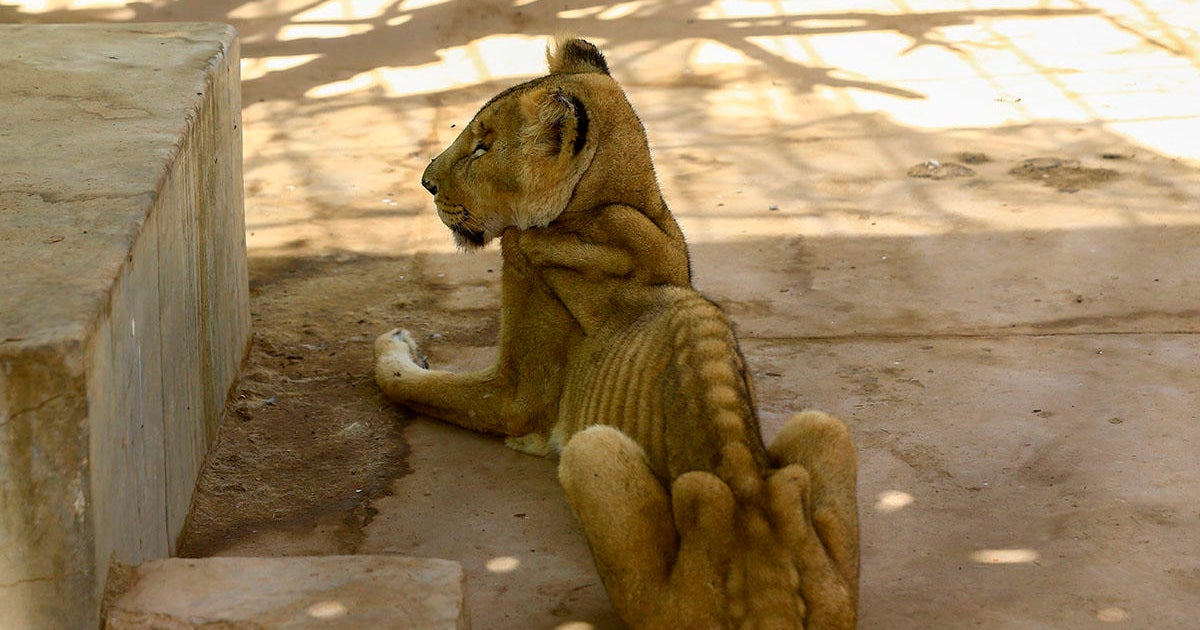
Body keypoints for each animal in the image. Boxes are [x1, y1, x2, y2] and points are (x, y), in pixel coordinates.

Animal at [374, 37, 860, 629]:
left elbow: (408, 382)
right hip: (826, 433)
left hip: (592, 452)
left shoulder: (515, 391)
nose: (425, 182)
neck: (615, 206)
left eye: (483, 147)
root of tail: (763, 576)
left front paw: (396, 343)